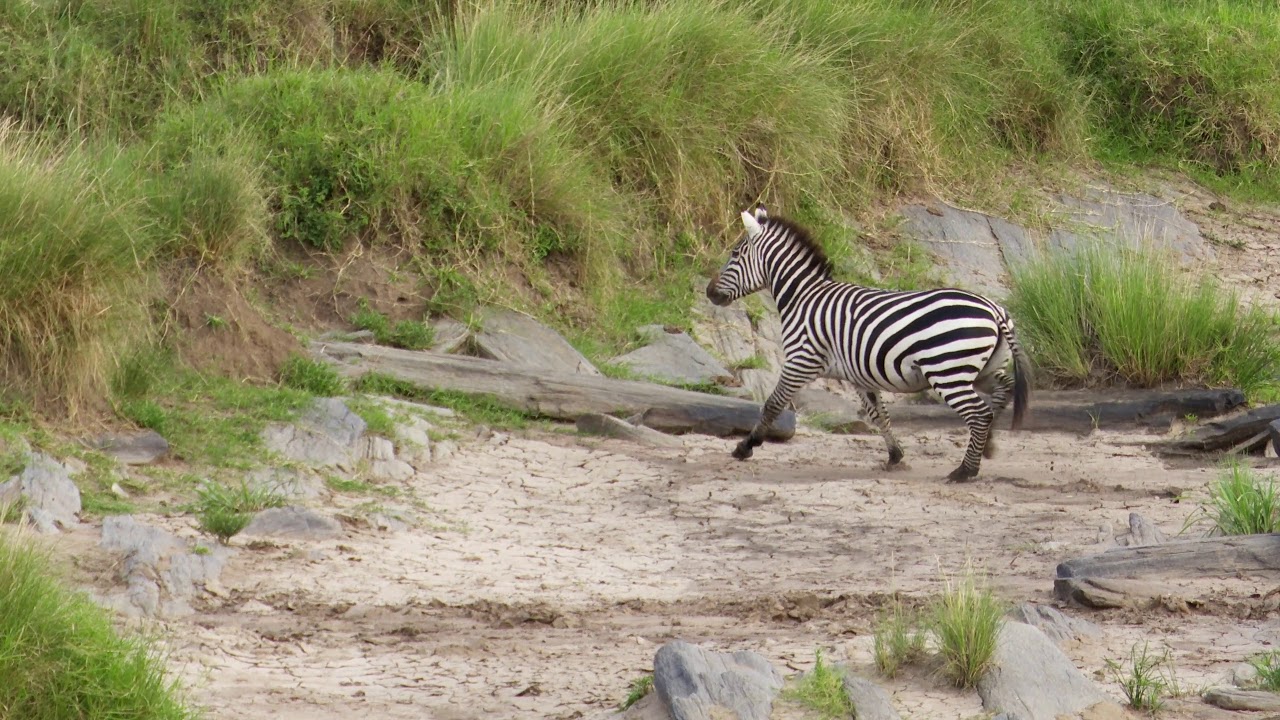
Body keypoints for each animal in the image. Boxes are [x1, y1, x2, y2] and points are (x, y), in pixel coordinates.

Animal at [705, 206, 1031, 482]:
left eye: (734, 253)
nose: (709, 292)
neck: (803, 297)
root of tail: (994, 308)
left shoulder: (801, 360)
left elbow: (772, 404)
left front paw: (745, 447)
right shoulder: (859, 375)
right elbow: (878, 414)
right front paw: (895, 455)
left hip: (948, 371)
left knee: (979, 414)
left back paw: (965, 470)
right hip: (980, 369)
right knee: (1003, 389)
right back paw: (988, 446)